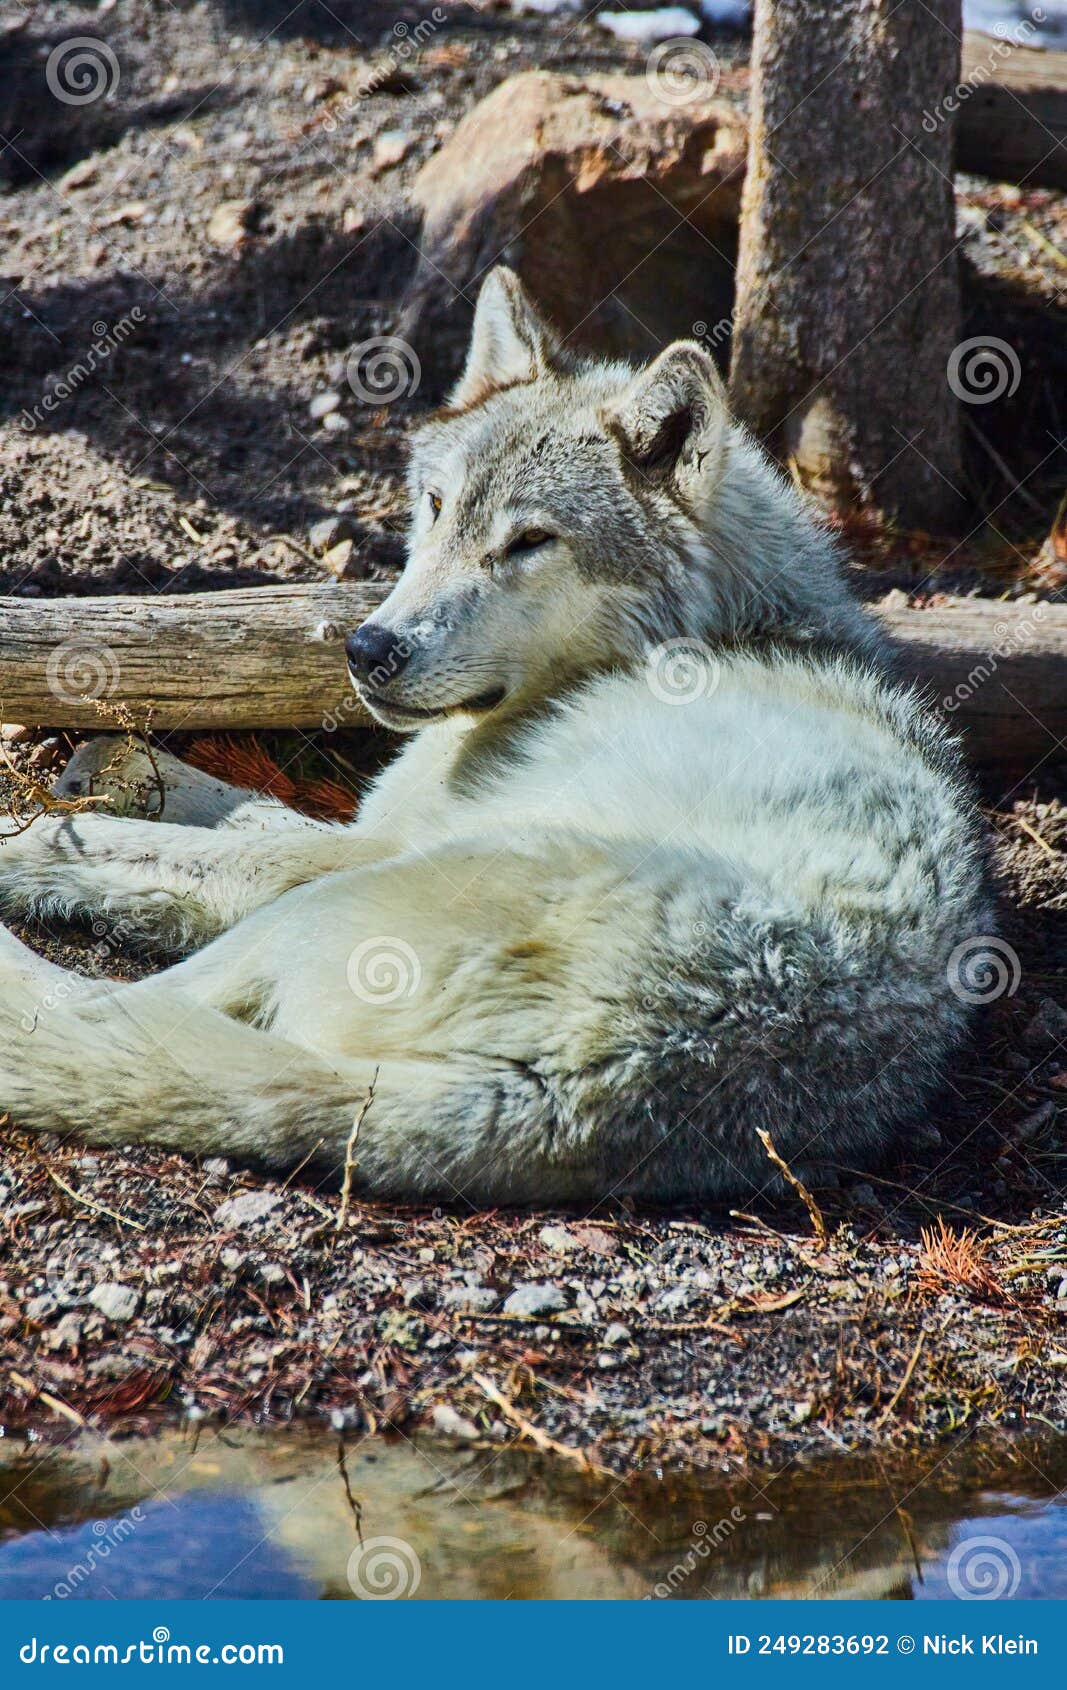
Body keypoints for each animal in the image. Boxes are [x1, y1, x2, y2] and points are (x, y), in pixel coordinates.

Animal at [0, 268, 990, 1205]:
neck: (711, 633)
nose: (369, 650)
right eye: (437, 506)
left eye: (528, 544)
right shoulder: (371, 825)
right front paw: (110, 760)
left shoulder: (358, 848)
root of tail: (560, 1093)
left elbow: (117, 843)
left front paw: (40, 831)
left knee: (104, 1010)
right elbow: (233, 803)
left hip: (329, 902)